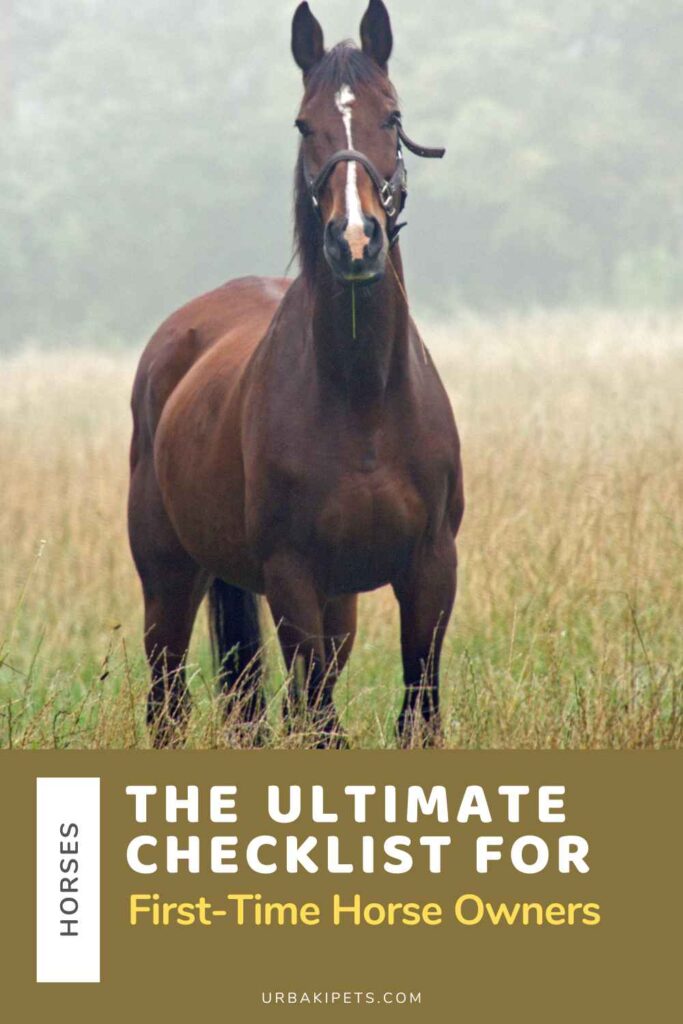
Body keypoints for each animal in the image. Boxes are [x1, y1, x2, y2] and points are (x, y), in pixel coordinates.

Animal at [127, 0, 464, 749]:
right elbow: (316, 721)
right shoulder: (291, 577)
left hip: (334, 603)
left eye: (392, 116)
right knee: (168, 702)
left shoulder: (429, 570)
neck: (363, 400)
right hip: (169, 579)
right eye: (304, 124)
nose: (356, 241)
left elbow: (416, 714)